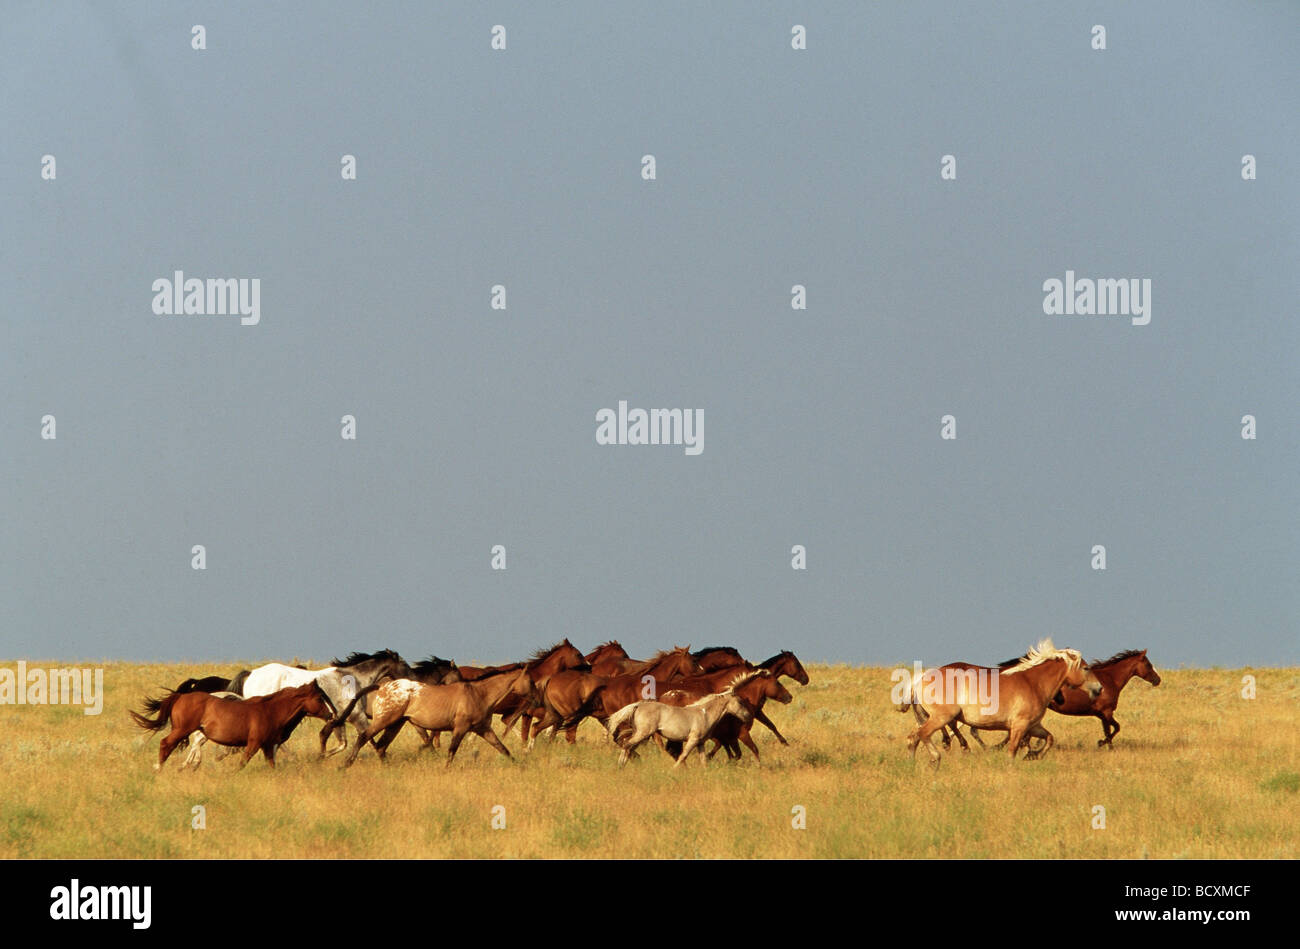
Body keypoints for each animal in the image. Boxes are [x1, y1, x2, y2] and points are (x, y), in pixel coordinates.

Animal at [131, 682, 333, 771]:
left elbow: (271, 765)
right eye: (319, 698)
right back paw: (159, 768)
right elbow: (243, 763)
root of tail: (181, 696)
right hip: (181, 730)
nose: (331, 714)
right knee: (166, 744)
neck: (270, 710)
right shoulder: (254, 744)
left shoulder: (267, 746)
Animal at [332, 666, 537, 768]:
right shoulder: (461, 728)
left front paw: (519, 766)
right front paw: (446, 770)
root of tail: (382, 686)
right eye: (531, 681)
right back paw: (345, 765)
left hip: (395, 724)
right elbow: (452, 751)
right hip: (384, 720)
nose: (537, 700)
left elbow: (503, 748)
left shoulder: (483, 729)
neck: (479, 694)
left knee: (381, 746)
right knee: (364, 737)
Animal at [606, 670, 762, 767]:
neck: (704, 714)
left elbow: (703, 761)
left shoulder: (700, 743)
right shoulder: (692, 740)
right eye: (740, 702)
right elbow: (683, 756)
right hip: (643, 733)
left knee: (628, 746)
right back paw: (620, 766)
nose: (748, 716)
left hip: (641, 734)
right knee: (627, 744)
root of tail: (638, 705)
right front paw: (674, 769)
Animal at [905, 640, 1102, 766]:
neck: (1033, 683)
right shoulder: (1019, 726)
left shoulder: (1033, 726)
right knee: (922, 734)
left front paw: (1033, 755)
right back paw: (936, 758)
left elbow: (1049, 739)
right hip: (941, 717)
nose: (1099, 688)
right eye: (1086, 668)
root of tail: (919, 681)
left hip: (931, 717)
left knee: (913, 737)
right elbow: (1012, 751)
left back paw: (914, 764)